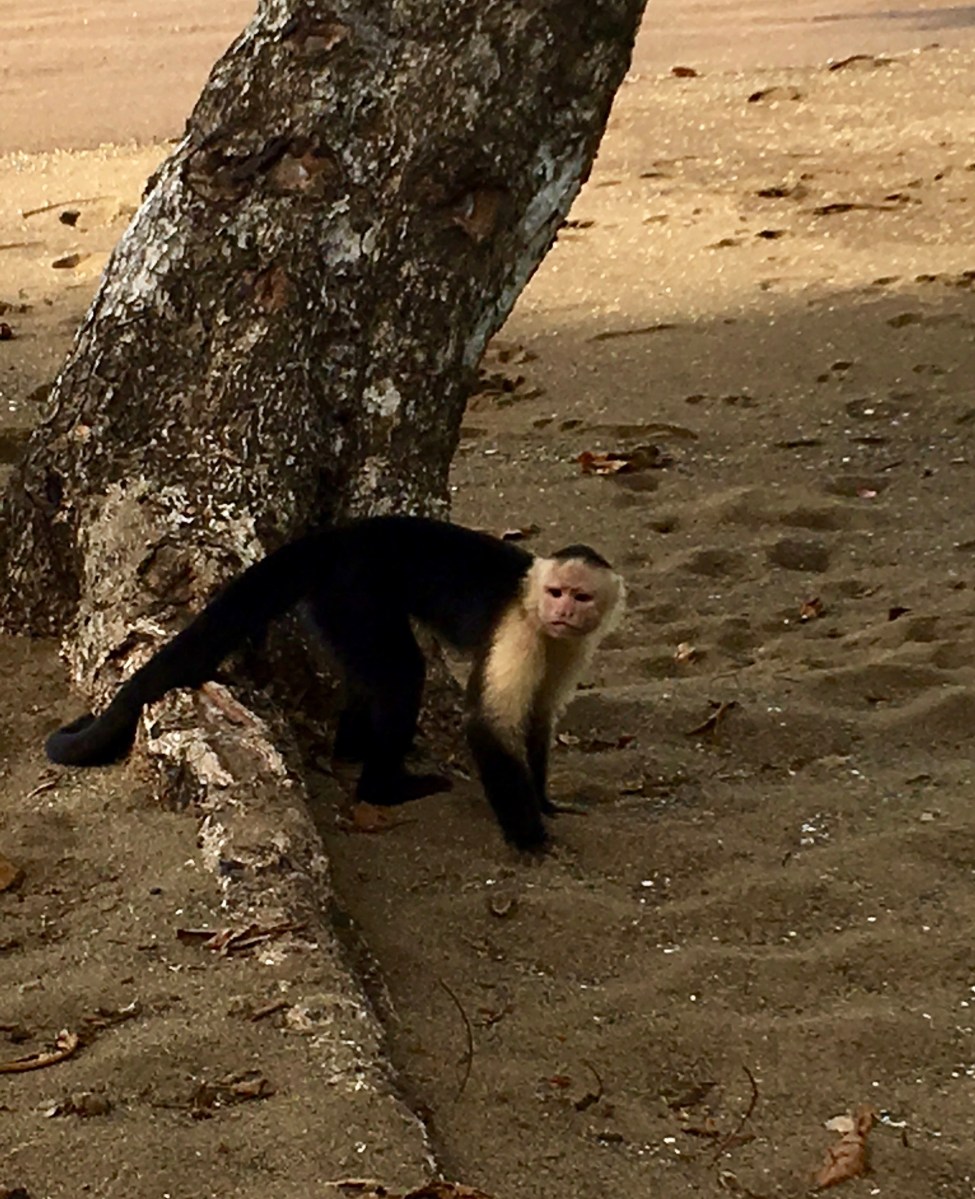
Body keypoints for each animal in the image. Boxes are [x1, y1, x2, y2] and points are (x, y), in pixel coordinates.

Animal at [44, 516, 624, 850]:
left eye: (581, 597)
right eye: (555, 592)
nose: (563, 612)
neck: (536, 612)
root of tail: (340, 537)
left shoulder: (572, 645)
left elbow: (541, 718)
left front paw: (545, 801)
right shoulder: (520, 629)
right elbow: (490, 724)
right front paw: (530, 836)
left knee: (377, 677)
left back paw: (354, 749)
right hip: (354, 588)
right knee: (400, 675)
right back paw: (384, 786)